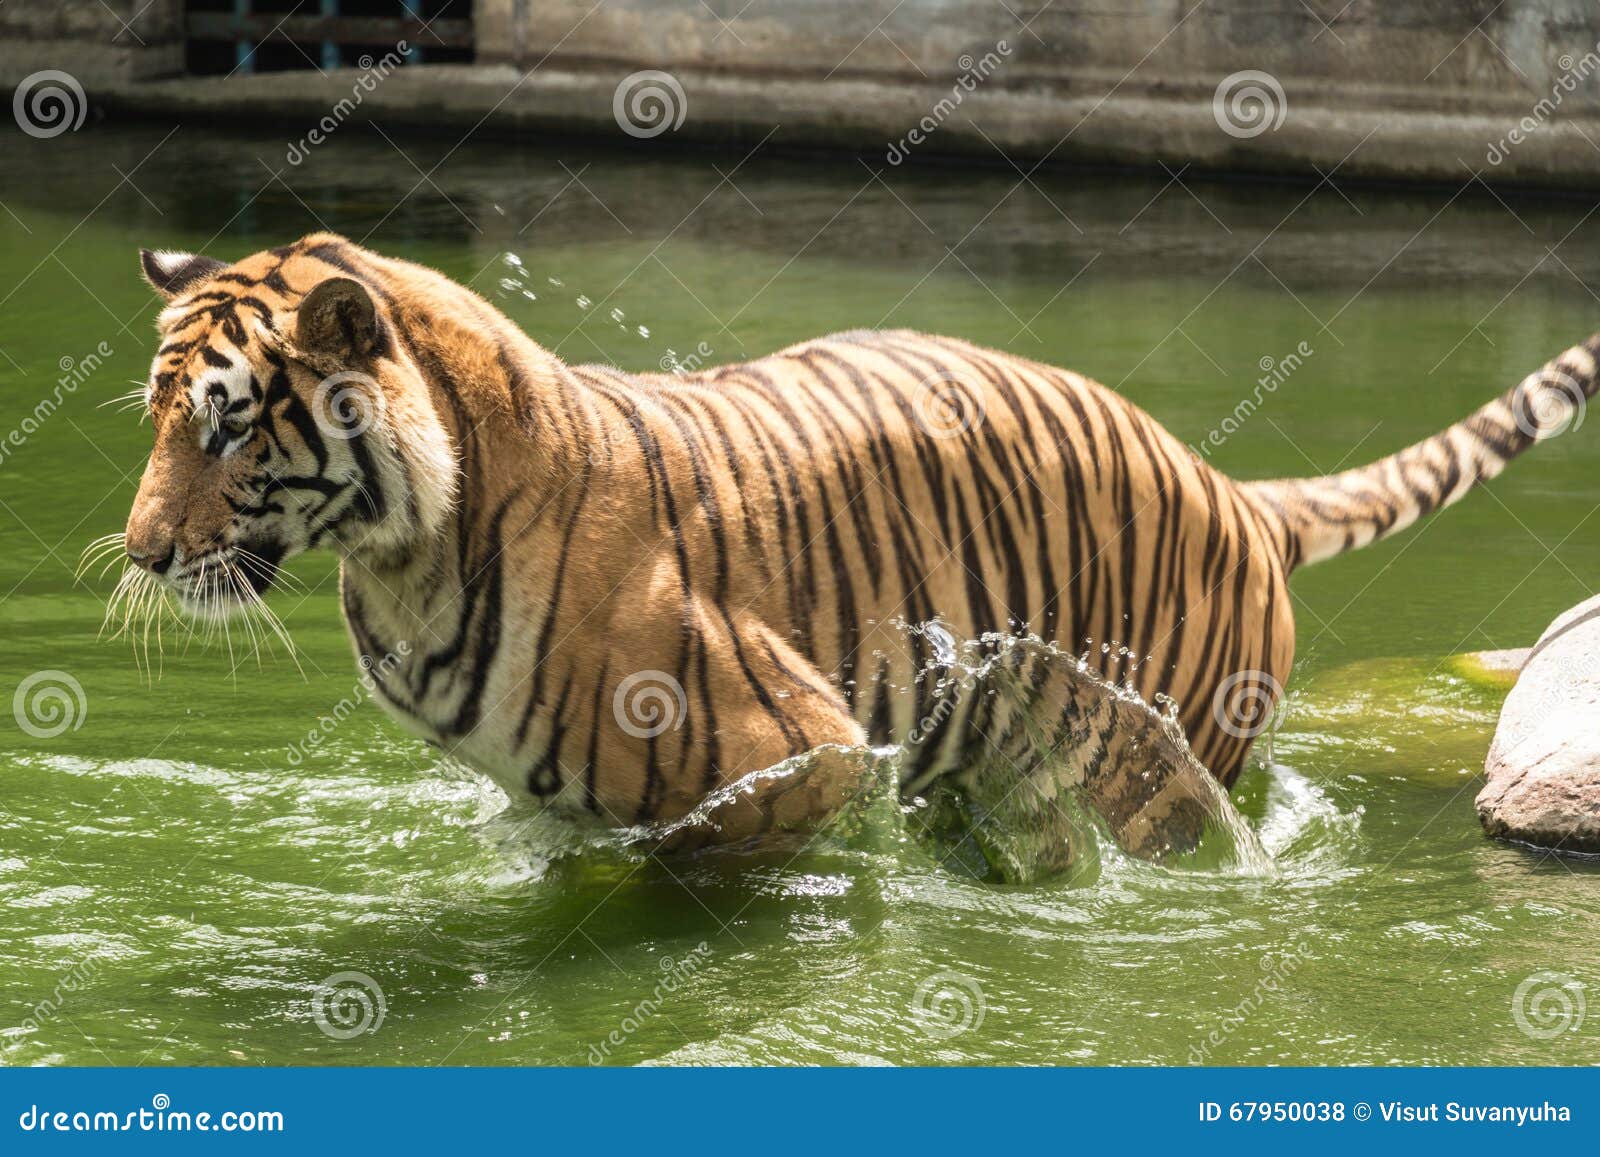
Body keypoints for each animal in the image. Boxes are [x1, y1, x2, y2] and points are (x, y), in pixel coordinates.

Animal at [114, 233, 1599, 849]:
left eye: (228, 424)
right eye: (161, 414)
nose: (136, 553)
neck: (405, 554)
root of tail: (1232, 484)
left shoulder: (791, 754)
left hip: (1159, 759)